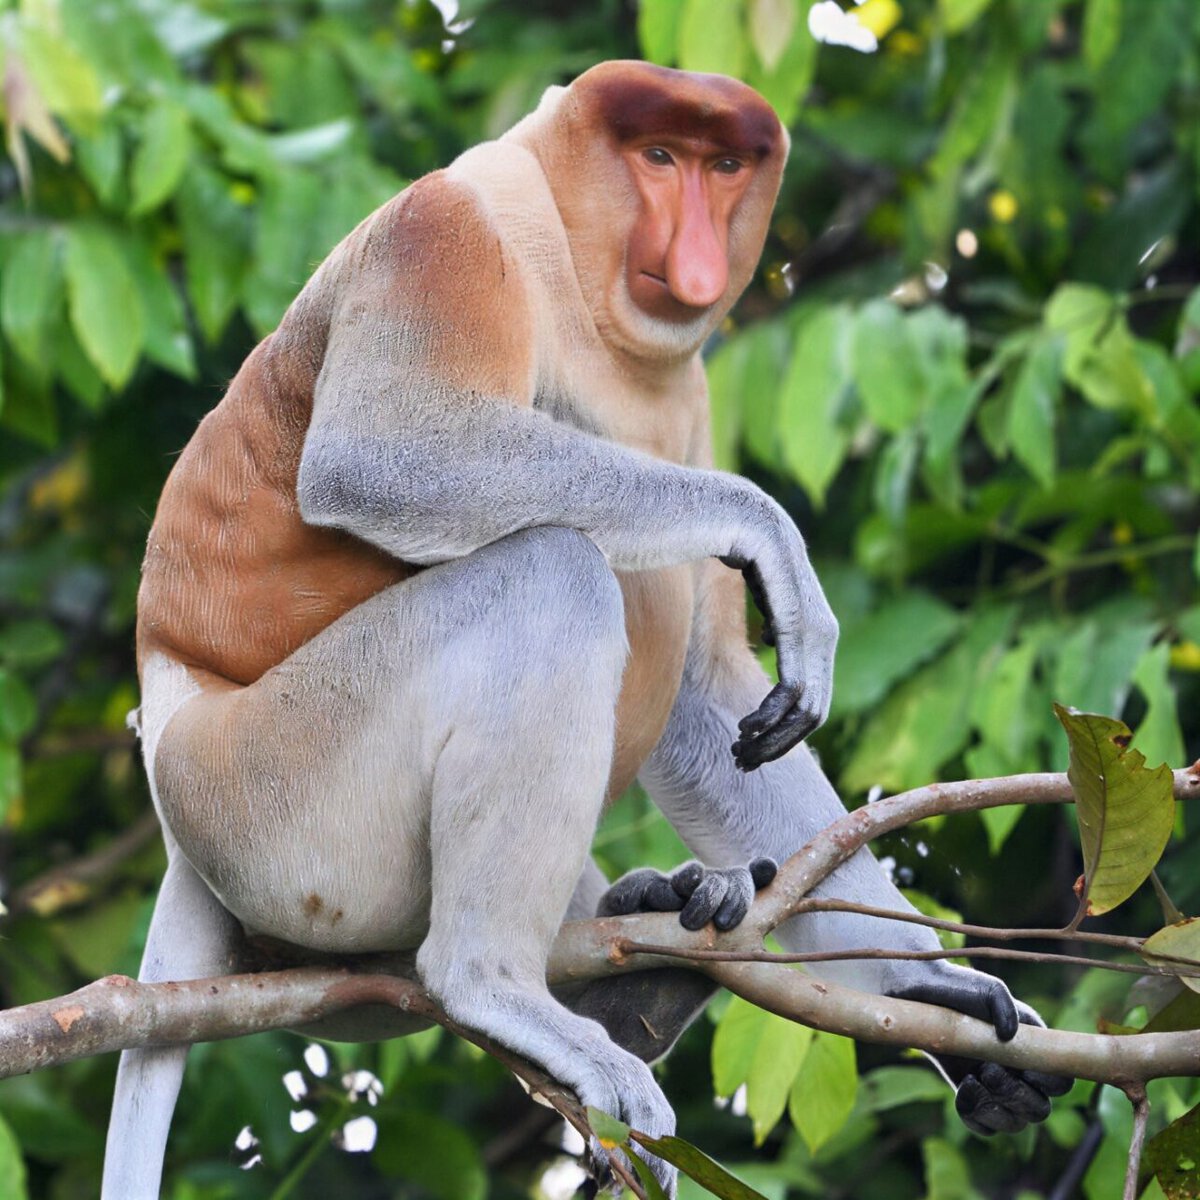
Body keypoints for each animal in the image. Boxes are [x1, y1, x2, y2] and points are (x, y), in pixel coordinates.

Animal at [103, 62, 1069, 1198]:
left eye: (724, 165)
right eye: (657, 157)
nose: (695, 249)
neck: (575, 265)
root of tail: (173, 767)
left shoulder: (689, 395)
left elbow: (712, 689)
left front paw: (928, 995)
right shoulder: (445, 236)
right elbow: (378, 453)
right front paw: (768, 535)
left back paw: (659, 938)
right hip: (270, 800)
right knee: (549, 576)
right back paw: (504, 987)